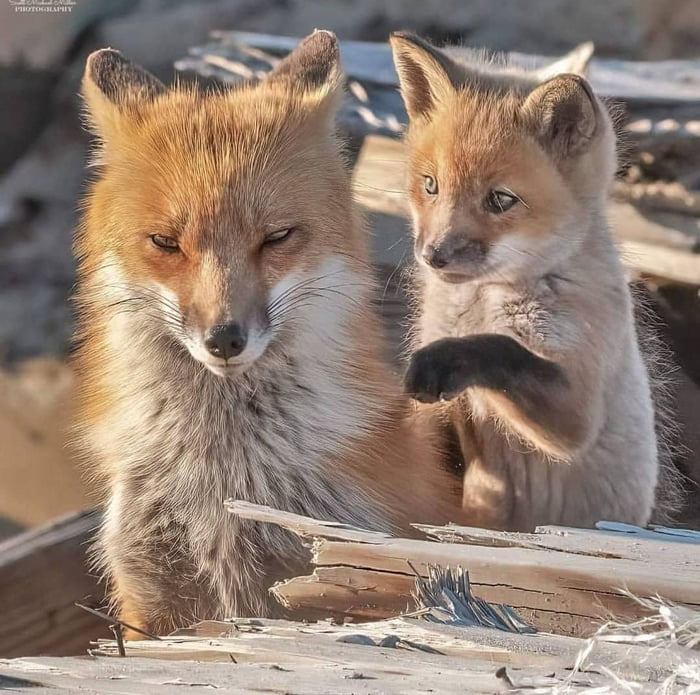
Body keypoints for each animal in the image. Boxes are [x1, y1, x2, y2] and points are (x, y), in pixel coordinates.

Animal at [73, 31, 465, 637]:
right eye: (165, 243)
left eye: (276, 236)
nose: (224, 338)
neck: (225, 484)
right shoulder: (154, 596)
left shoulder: (342, 572)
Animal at [389, 32, 663, 531]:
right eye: (430, 185)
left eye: (501, 200)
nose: (434, 255)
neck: (479, 304)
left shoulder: (577, 412)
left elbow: (502, 349)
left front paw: (446, 359)